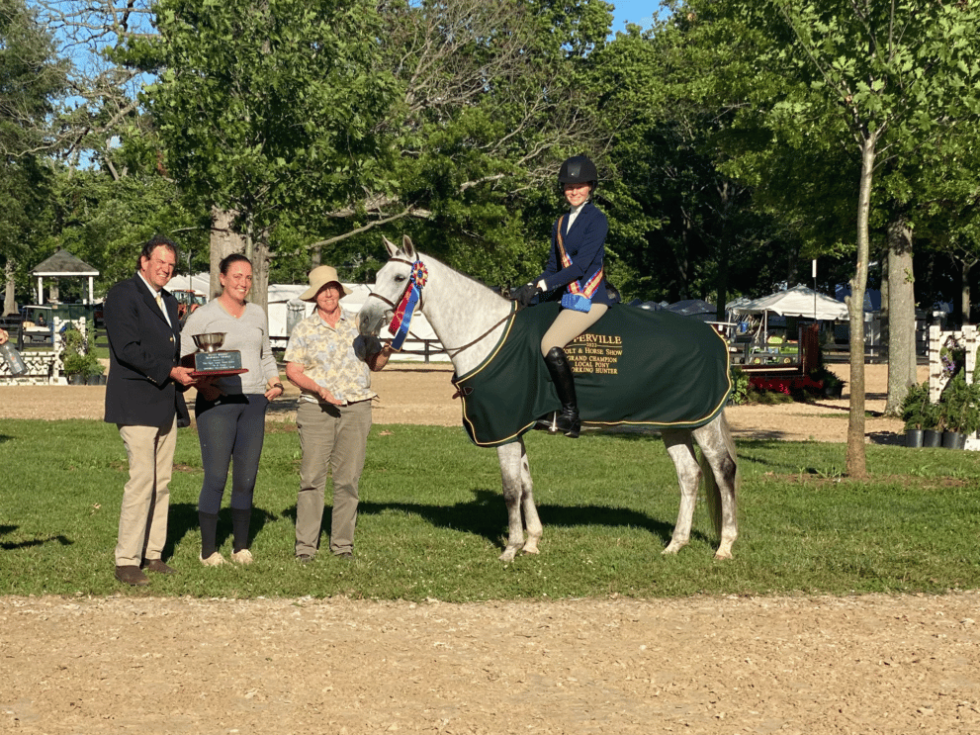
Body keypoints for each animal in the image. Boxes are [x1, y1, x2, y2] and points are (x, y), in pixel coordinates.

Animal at [357, 235, 739, 562]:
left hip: (702, 423)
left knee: (723, 470)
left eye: (399, 277)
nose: (364, 320)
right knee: (689, 474)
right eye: (375, 276)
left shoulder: (504, 430)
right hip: (675, 423)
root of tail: (715, 336)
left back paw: (725, 545)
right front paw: (532, 542)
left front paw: (510, 548)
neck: (490, 335)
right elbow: (526, 484)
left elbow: (511, 488)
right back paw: (676, 544)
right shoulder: (516, 428)